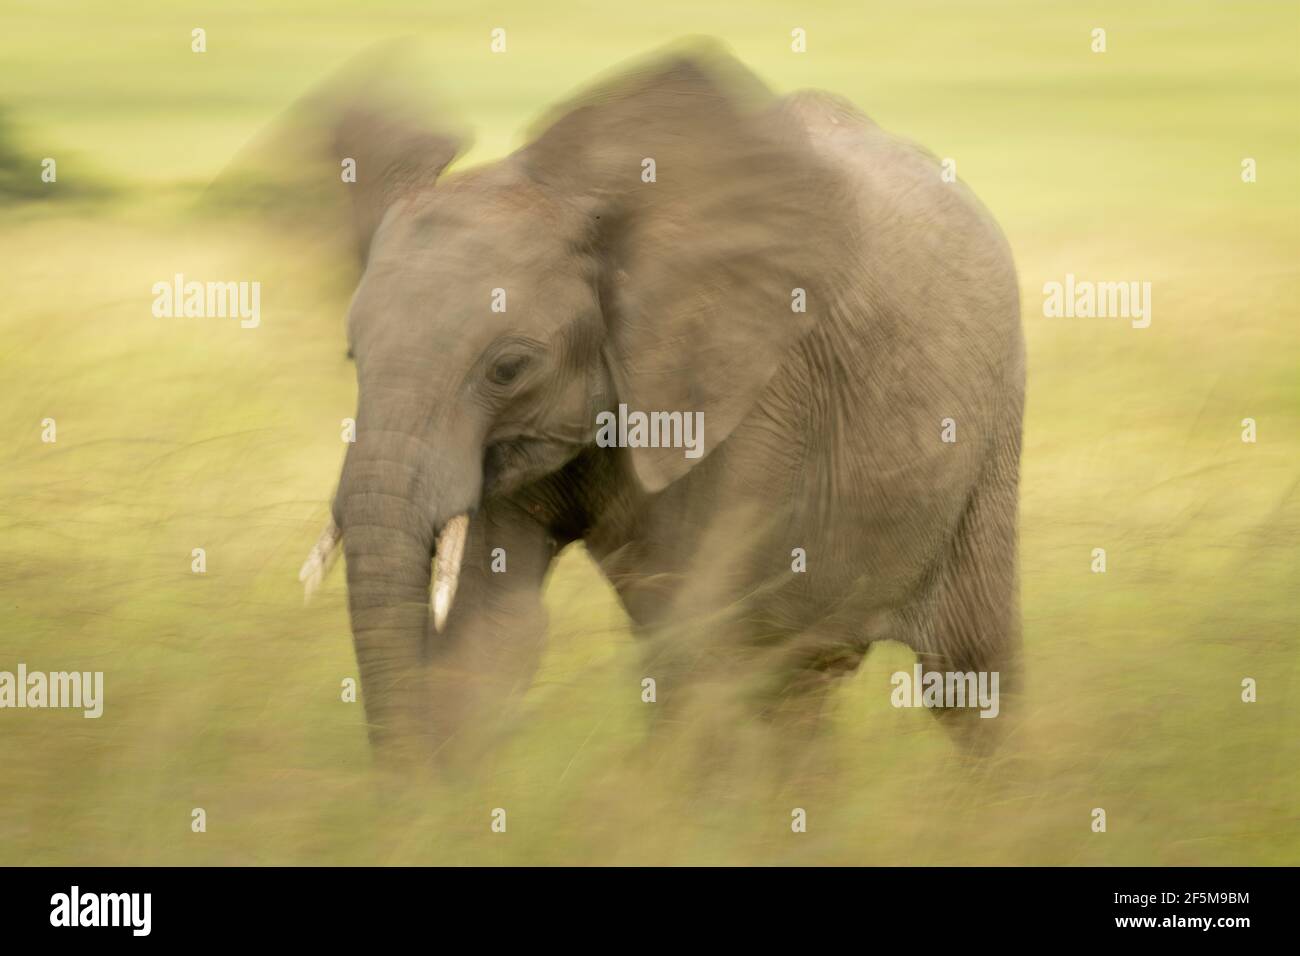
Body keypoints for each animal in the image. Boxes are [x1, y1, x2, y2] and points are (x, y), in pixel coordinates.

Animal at [299, 44, 1024, 767]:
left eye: (508, 368)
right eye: (354, 357)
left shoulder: (752, 393)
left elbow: (694, 638)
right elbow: (486, 639)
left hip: (992, 434)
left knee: (965, 677)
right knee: (799, 690)